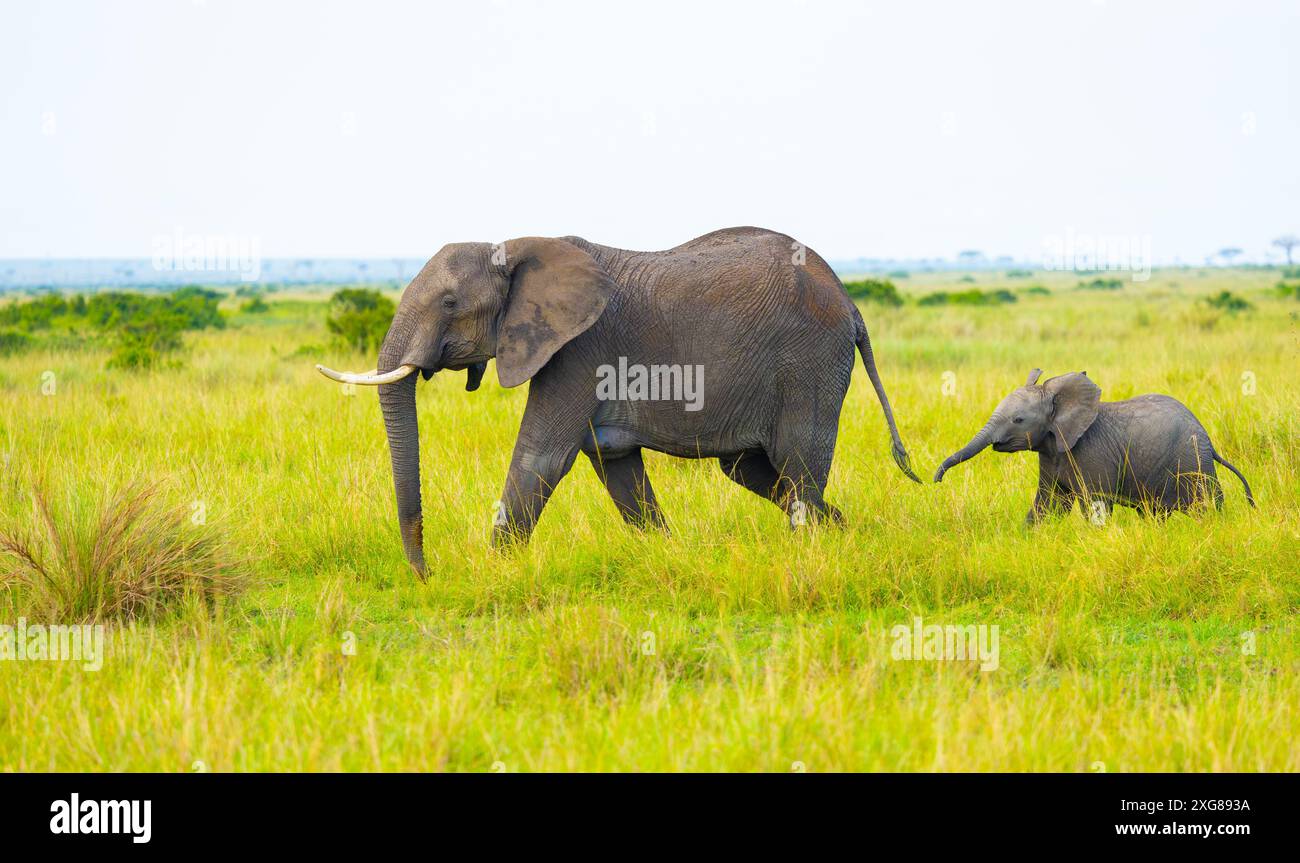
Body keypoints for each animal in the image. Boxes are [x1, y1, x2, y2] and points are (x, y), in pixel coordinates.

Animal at [317, 227, 920, 576]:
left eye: (449, 303)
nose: (427, 575)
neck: (511, 246)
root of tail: (851, 304)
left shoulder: (580, 348)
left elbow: (541, 457)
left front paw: (494, 574)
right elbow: (615, 465)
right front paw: (667, 554)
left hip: (809, 363)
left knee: (798, 466)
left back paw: (813, 554)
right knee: (755, 472)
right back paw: (846, 535)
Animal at [933, 369, 1255, 523]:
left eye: (1018, 419)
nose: (936, 479)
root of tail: (1209, 440)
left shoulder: (1091, 454)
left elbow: (1095, 507)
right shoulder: (1051, 452)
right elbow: (1048, 504)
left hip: (1193, 463)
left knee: (1206, 507)